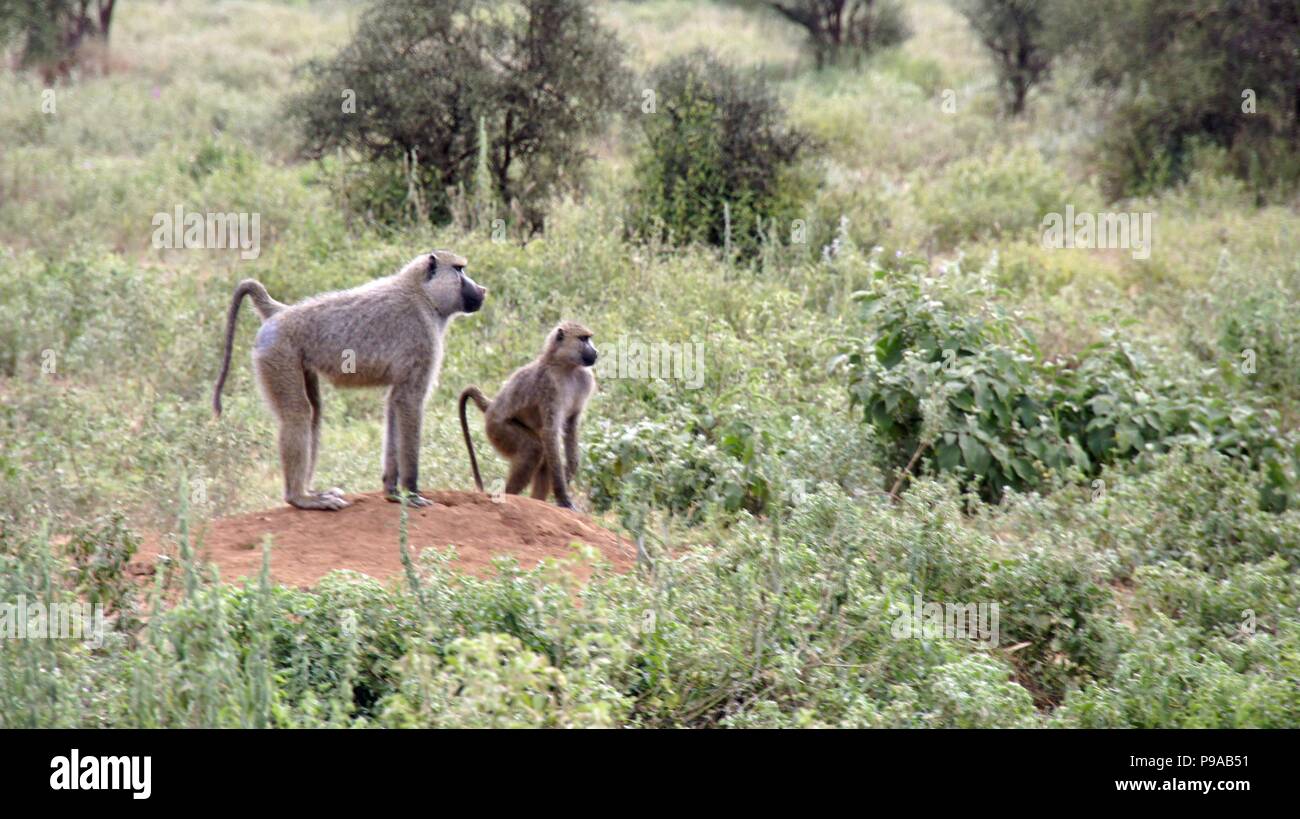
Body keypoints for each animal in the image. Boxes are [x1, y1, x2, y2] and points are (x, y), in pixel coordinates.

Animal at [213, 250, 487, 511]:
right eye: (459, 270)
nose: (482, 290)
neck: (422, 294)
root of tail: (280, 312)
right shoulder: (421, 341)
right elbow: (409, 402)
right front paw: (412, 493)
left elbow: (394, 403)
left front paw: (391, 492)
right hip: (277, 353)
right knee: (298, 413)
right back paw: (300, 498)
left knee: (314, 413)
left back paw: (310, 492)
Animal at [459, 322, 597, 510]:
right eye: (583, 339)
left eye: (588, 338)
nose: (595, 352)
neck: (566, 366)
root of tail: (491, 406)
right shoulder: (549, 385)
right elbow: (550, 431)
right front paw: (563, 497)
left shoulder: (585, 379)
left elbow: (571, 425)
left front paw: (571, 469)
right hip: (497, 428)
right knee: (532, 449)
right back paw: (508, 497)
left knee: (544, 456)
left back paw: (537, 501)